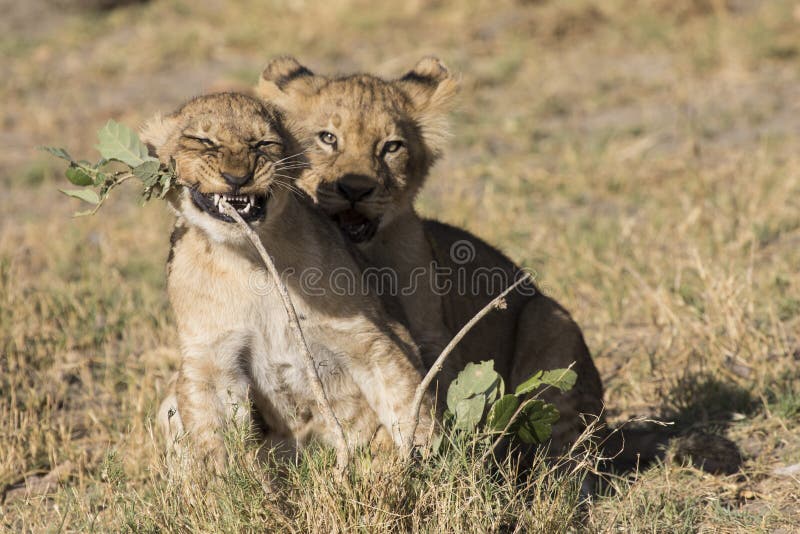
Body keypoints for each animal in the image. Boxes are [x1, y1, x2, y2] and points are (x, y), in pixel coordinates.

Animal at [142, 92, 433, 469]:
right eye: (202, 141)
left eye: (264, 143)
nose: (237, 177)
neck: (248, 257)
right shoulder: (211, 357)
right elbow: (212, 439)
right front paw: (221, 483)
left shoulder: (366, 333)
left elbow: (406, 397)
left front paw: (424, 465)